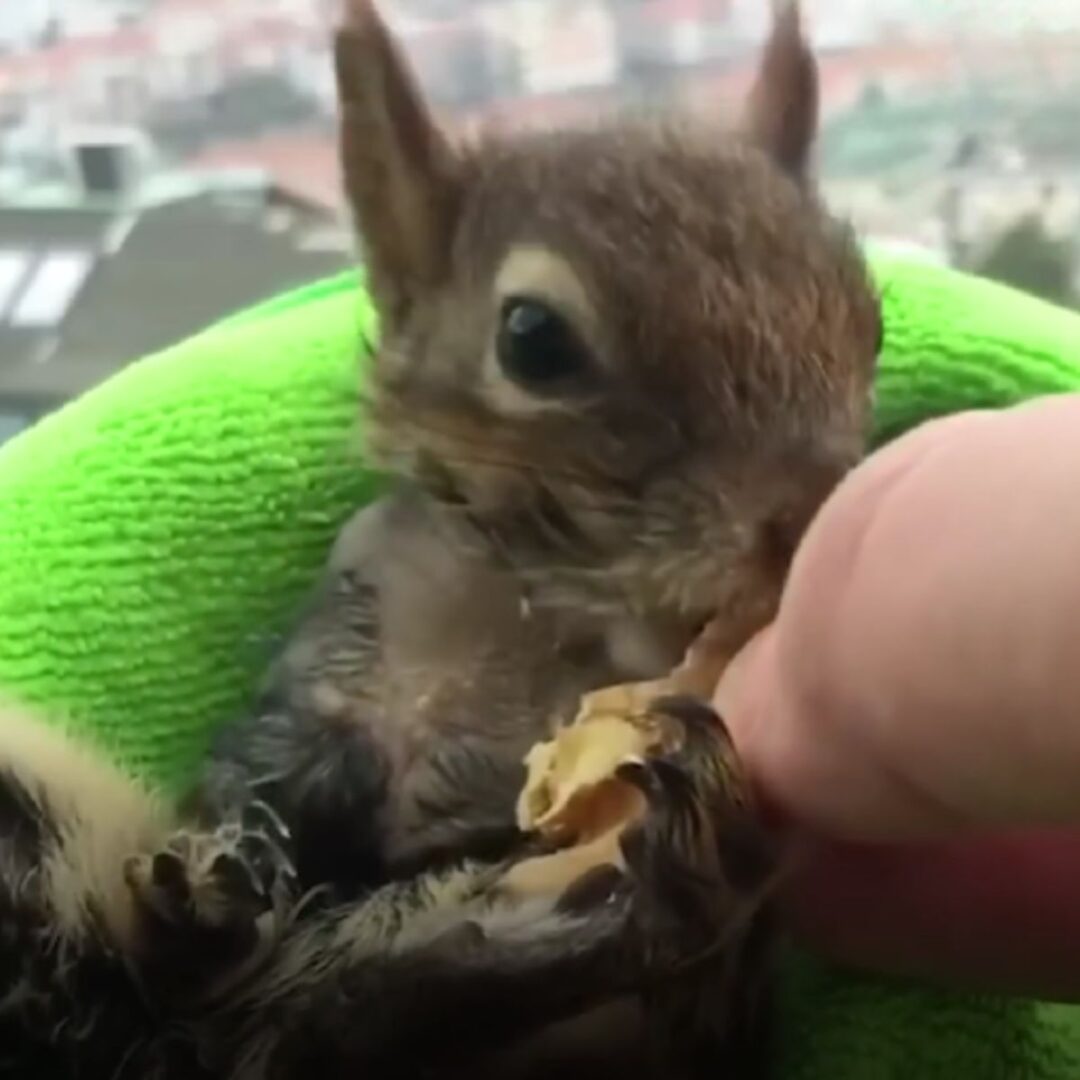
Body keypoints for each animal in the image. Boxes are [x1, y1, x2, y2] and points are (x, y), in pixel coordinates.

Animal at [0, 1, 881, 1077]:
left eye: (869, 318)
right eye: (532, 337)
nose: (810, 517)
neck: (550, 618)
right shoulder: (330, 677)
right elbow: (260, 793)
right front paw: (217, 880)